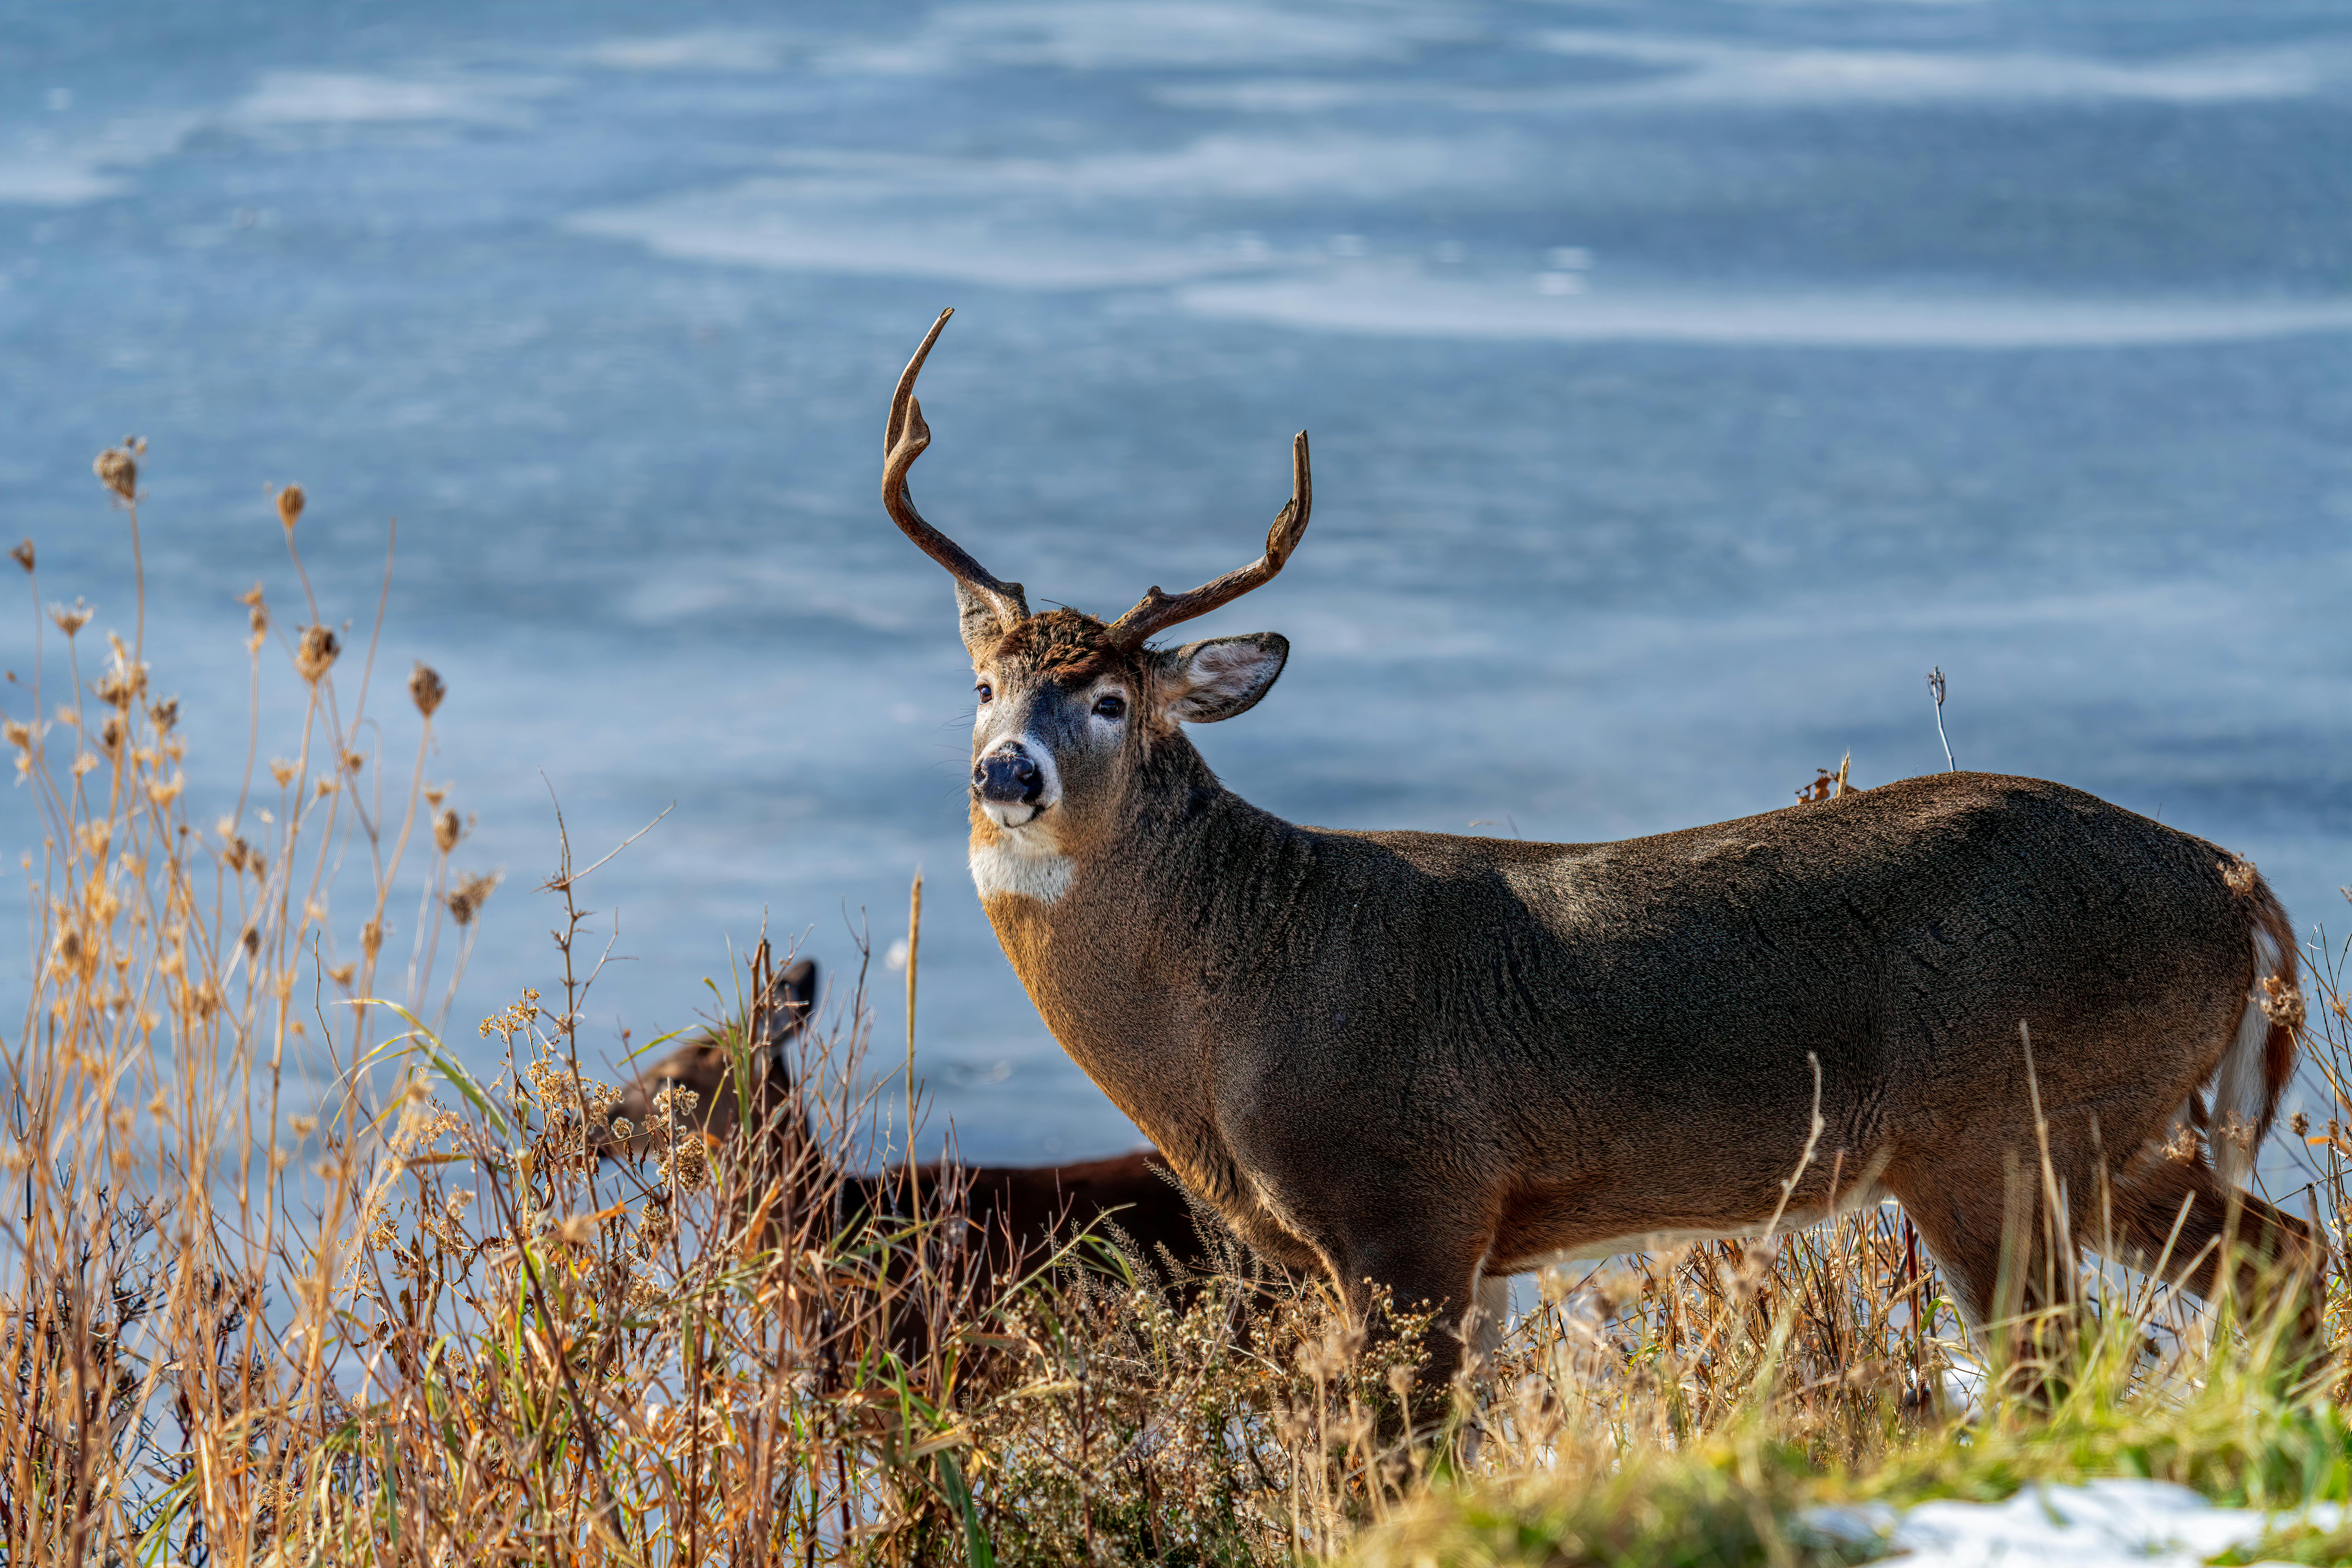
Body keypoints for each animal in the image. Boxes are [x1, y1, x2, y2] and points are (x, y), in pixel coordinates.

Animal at [874, 307, 2320, 1394]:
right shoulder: (1481, 1247)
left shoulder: (1408, 1200)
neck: (1231, 1005)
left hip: (2004, 1129)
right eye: (982, 688)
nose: (1006, 772)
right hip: (2118, 1132)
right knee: (2284, 1265)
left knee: (2058, 1362)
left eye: (1113, 701)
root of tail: (2235, 884)